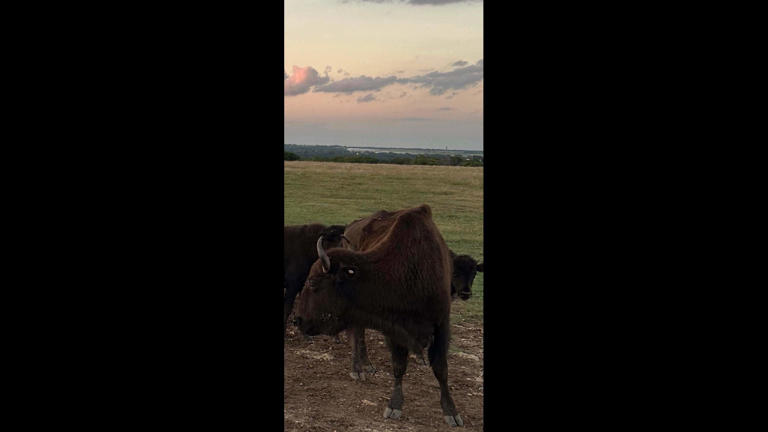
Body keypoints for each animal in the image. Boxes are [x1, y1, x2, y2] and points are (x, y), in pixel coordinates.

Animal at [294, 204, 464, 426]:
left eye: (313, 282)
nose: (298, 319)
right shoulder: (393, 328)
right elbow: (399, 366)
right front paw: (394, 406)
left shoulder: (442, 323)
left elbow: (441, 368)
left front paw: (452, 412)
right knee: (358, 335)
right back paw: (358, 369)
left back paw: (368, 365)